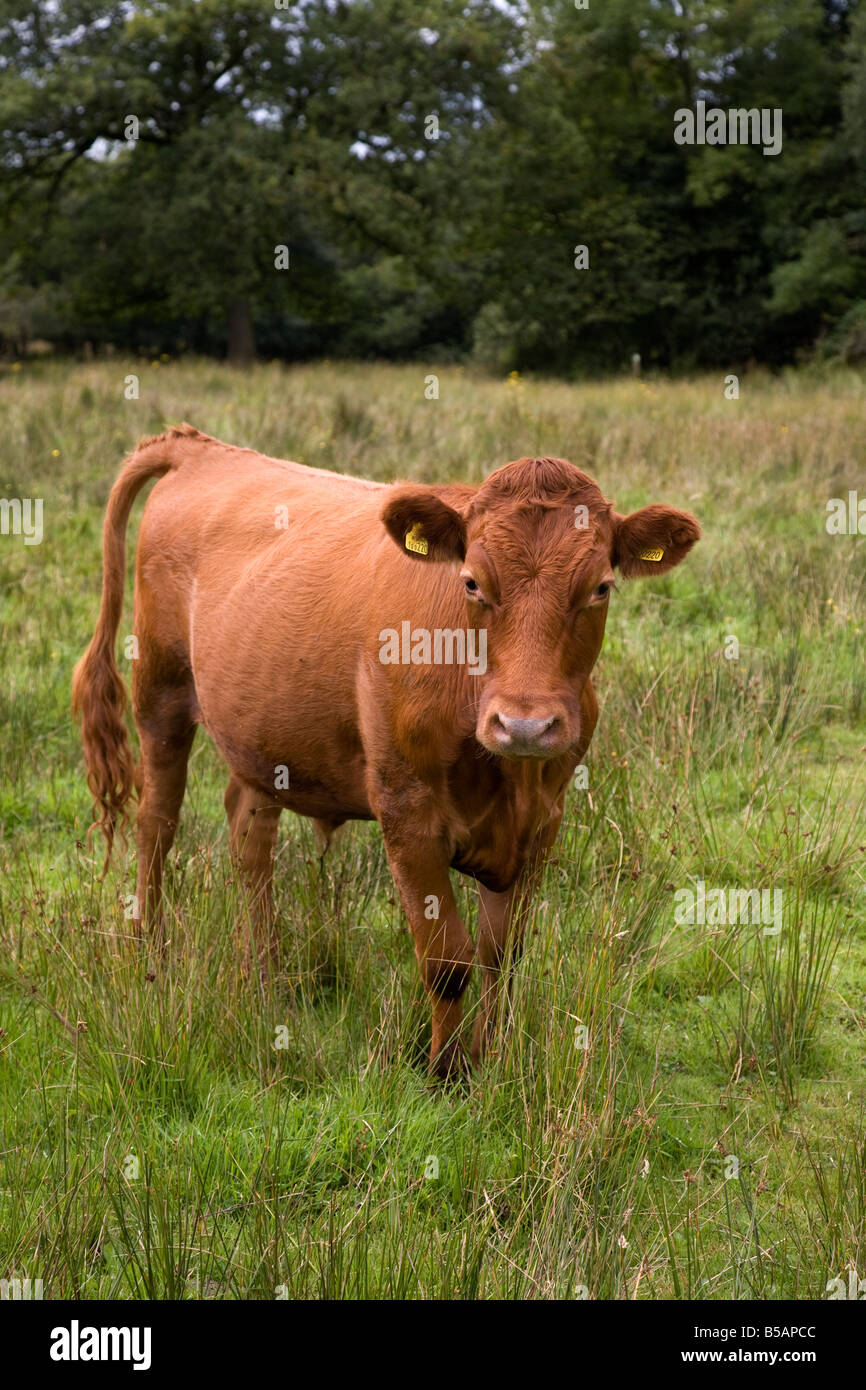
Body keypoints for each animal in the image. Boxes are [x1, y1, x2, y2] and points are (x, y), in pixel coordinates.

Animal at [73, 425, 700, 1078]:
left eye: (600, 587)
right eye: (472, 582)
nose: (524, 726)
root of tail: (200, 448)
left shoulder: (541, 822)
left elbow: (502, 955)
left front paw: (493, 1061)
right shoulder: (406, 812)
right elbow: (447, 962)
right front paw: (446, 1073)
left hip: (258, 731)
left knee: (249, 836)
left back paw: (266, 980)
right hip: (160, 693)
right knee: (157, 824)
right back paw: (150, 955)